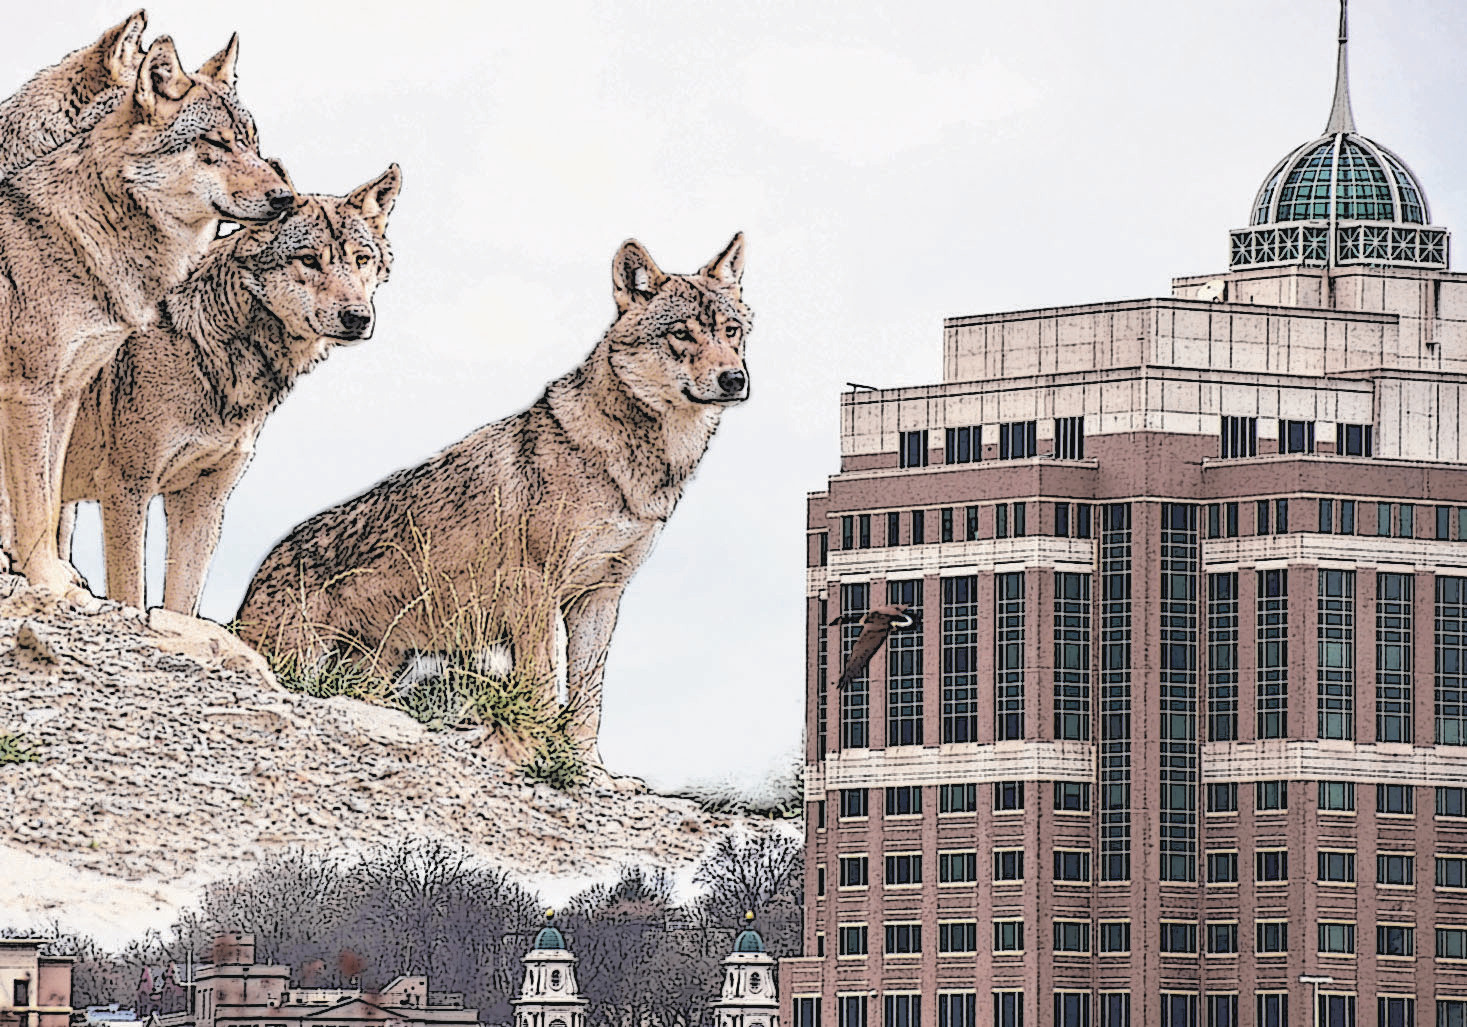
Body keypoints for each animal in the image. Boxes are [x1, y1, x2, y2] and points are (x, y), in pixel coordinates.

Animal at [0, 34, 291, 598]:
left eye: (252, 143)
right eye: (216, 143)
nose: (285, 197)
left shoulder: (66, 395)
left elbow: (50, 501)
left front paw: (55, 578)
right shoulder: (28, 393)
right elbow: (35, 507)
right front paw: (47, 580)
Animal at [60, 163, 401, 615]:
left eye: (361, 260)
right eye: (309, 260)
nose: (357, 317)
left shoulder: (202, 501)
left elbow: (181, 605)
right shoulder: (125, 487)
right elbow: (131, 593)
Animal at [236, 234, 751, 758]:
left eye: (732, 331)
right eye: (682, 334)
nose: (734, 379)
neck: (638, 467)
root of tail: (267, 560)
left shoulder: (600, 597)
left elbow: (589, 698)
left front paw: (584, 762)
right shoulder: (535, 589)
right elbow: (544, 683)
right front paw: (539, 747)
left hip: (379, 669)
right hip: (302, 657)